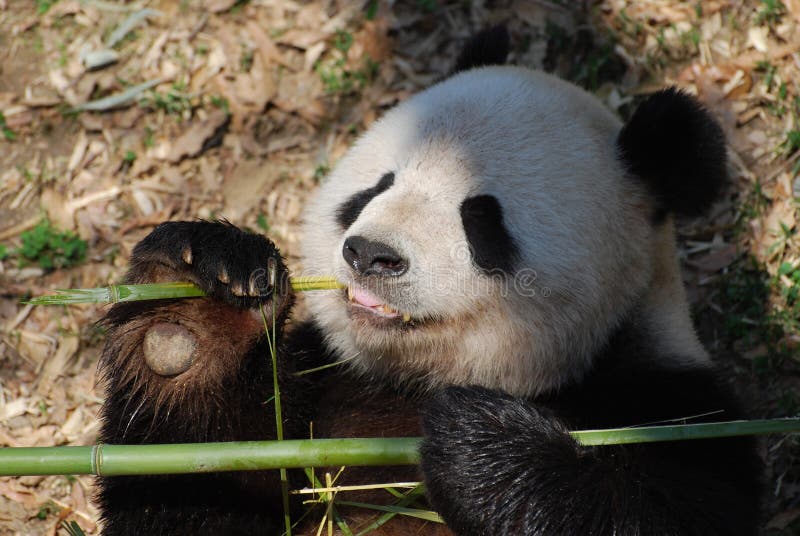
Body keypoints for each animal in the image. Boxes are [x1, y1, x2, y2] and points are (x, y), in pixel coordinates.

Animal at [95, 28, 761, 535]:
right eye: (376, 186)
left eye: (482, 219)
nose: (371, 254)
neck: (410, 383)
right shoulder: (322, 394)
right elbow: (188, 494)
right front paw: (194, 317)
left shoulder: (676, 414)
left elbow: (641, 509)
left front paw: (479, 442)